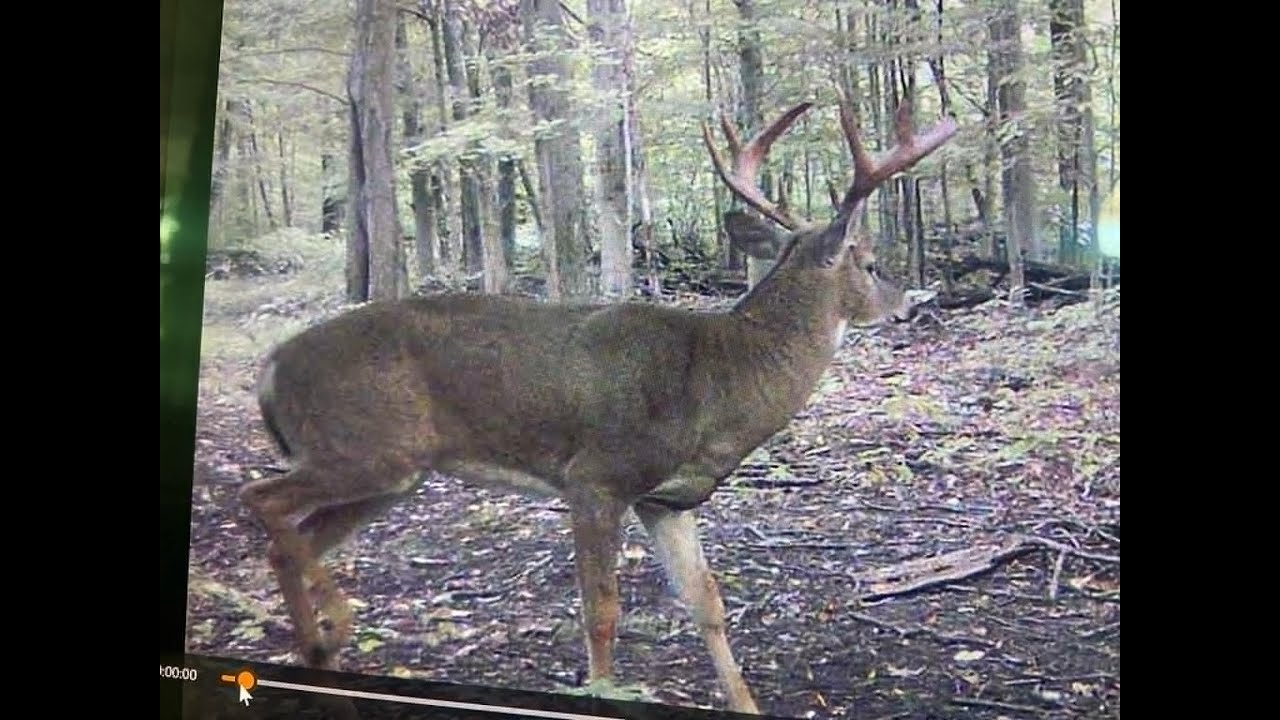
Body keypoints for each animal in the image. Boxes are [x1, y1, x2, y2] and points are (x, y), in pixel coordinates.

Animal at [237, 95, 957, 716]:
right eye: (870, 263)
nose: (913, 302)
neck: (715, 382)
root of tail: (269, 368)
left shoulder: (668, 499)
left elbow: (708, 603)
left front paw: (746, 703)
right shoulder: (595, 477)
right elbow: (601, 613)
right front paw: (605, 688)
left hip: (389, 475)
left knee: (290, 541)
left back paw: (322, 655)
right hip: (366, 448)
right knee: (263, 500)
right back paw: (334, 626)